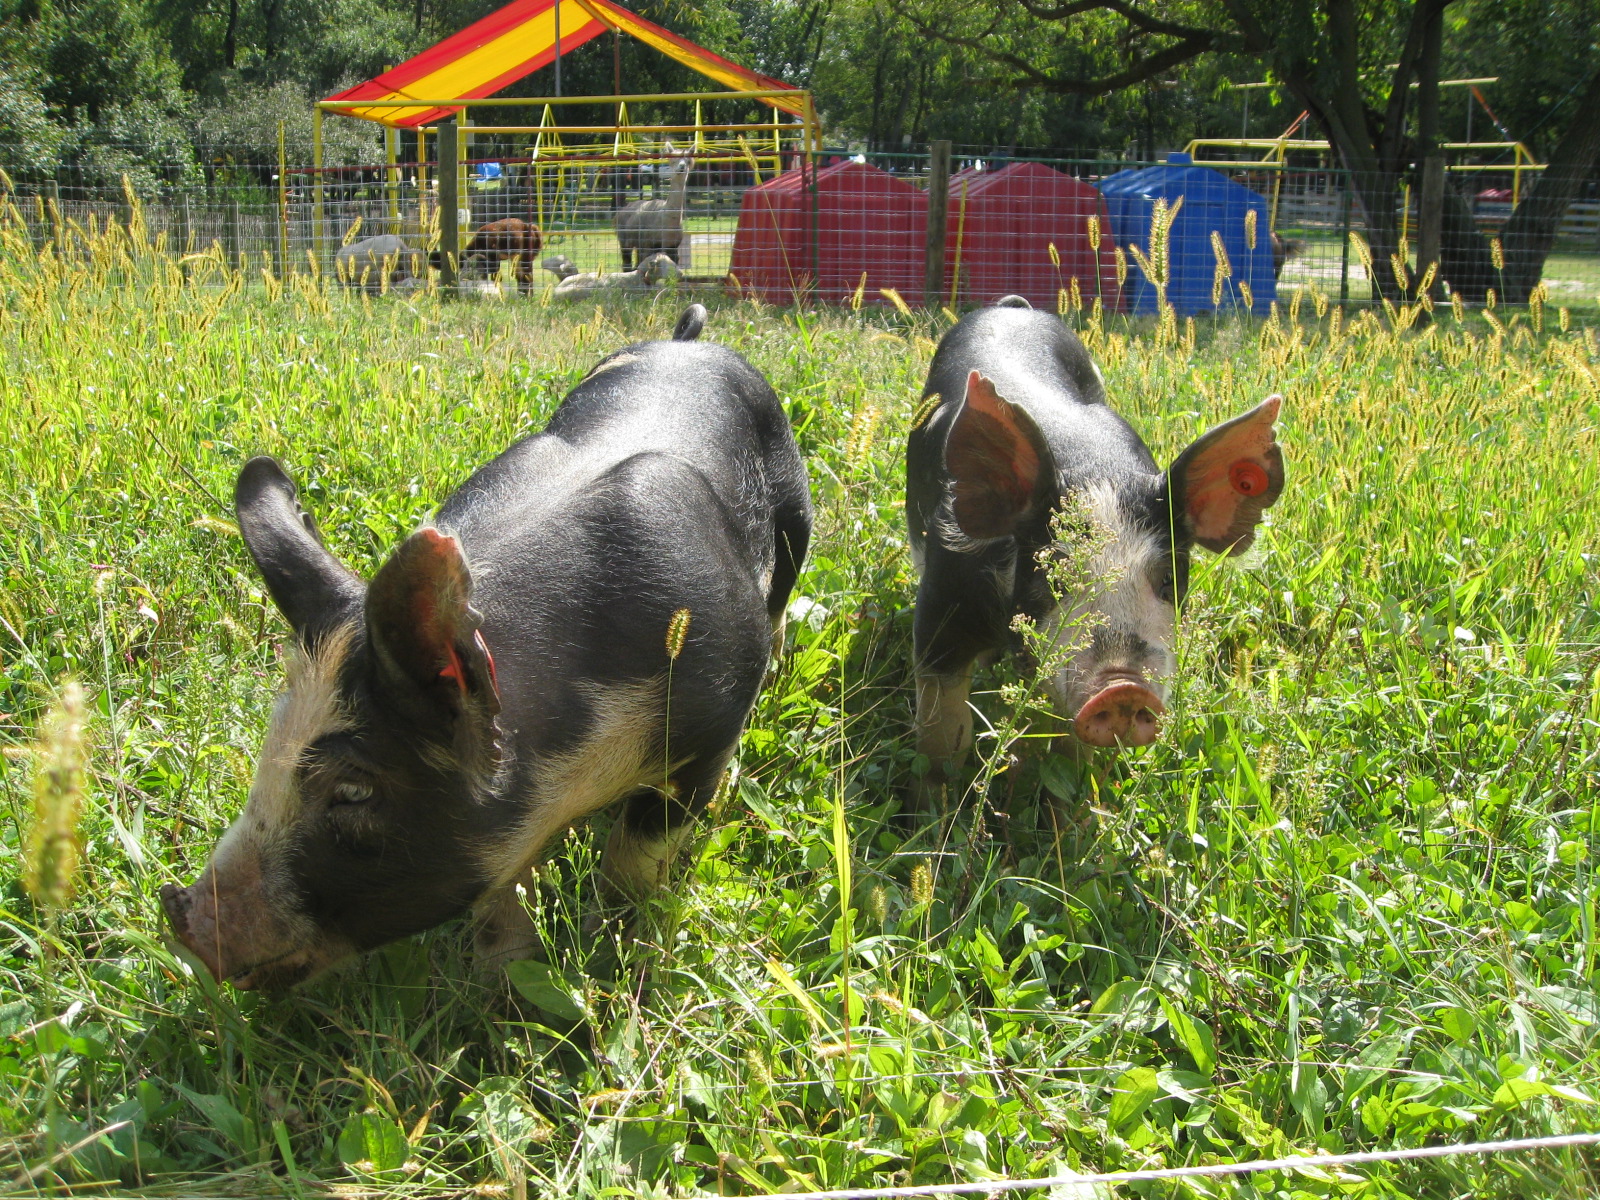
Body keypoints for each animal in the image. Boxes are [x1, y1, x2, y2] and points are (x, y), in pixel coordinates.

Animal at [161, 303, 811, 988]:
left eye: (355, 791)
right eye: (270, 744)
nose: (180, 916)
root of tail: (692, 342)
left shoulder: (706, 740)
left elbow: (637, 858)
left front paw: (612, 946)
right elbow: (504, 896)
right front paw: (507, 979)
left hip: (794, 524)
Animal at [905, 296, 1283, 805]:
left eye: (1169, 578)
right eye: (1055, 575)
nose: (1123, 689)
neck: (1096, 470)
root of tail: (1012, 307)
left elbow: (1070, 758)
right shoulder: (941, 603)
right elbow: (944, 735)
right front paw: (933, 811)